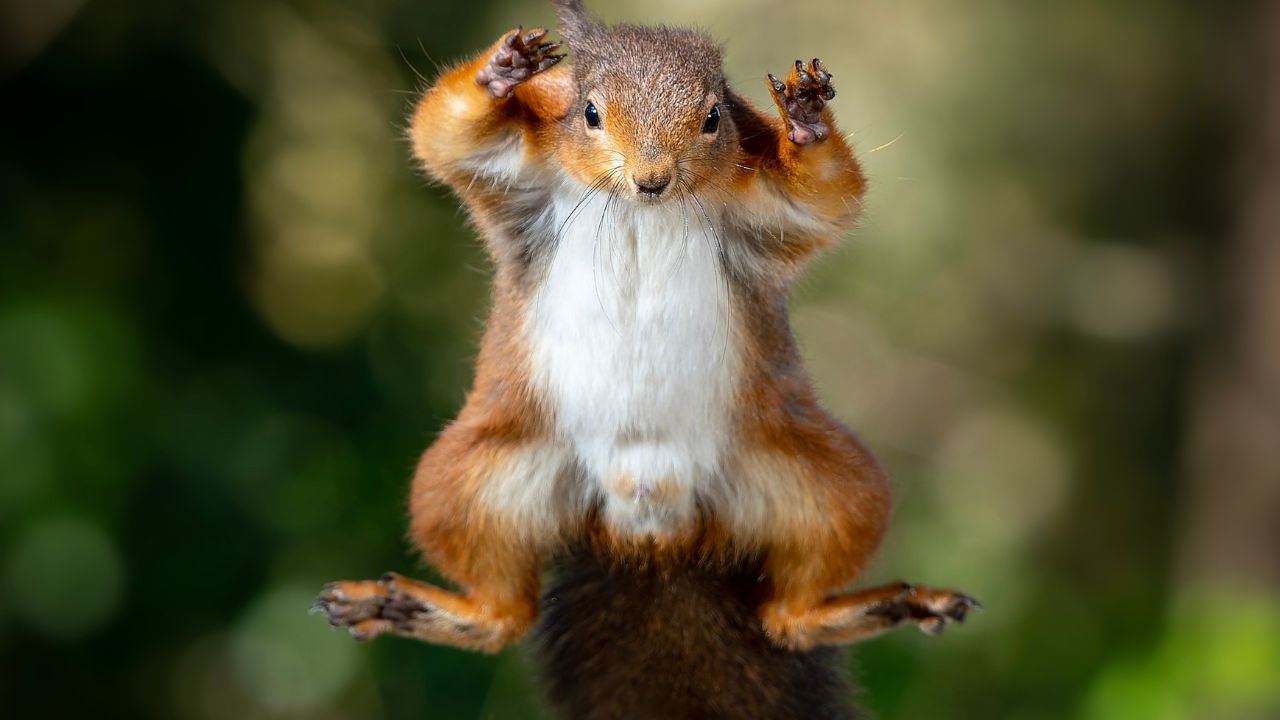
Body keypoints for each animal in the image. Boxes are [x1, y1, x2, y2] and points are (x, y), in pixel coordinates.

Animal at [315, 1, 978, 717]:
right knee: (503, 612)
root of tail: (652, 537)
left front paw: (806, 119)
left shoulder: (765, 205)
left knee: (788, 613)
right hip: (469, 481)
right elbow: (448, 133)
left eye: (714, 117)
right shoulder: (513, 171)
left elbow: (825, 195)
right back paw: (403, 604)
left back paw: (886, 605)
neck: (637, 210)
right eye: (589, 112)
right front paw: (503, 68)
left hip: (825, 483)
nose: (652, 179)